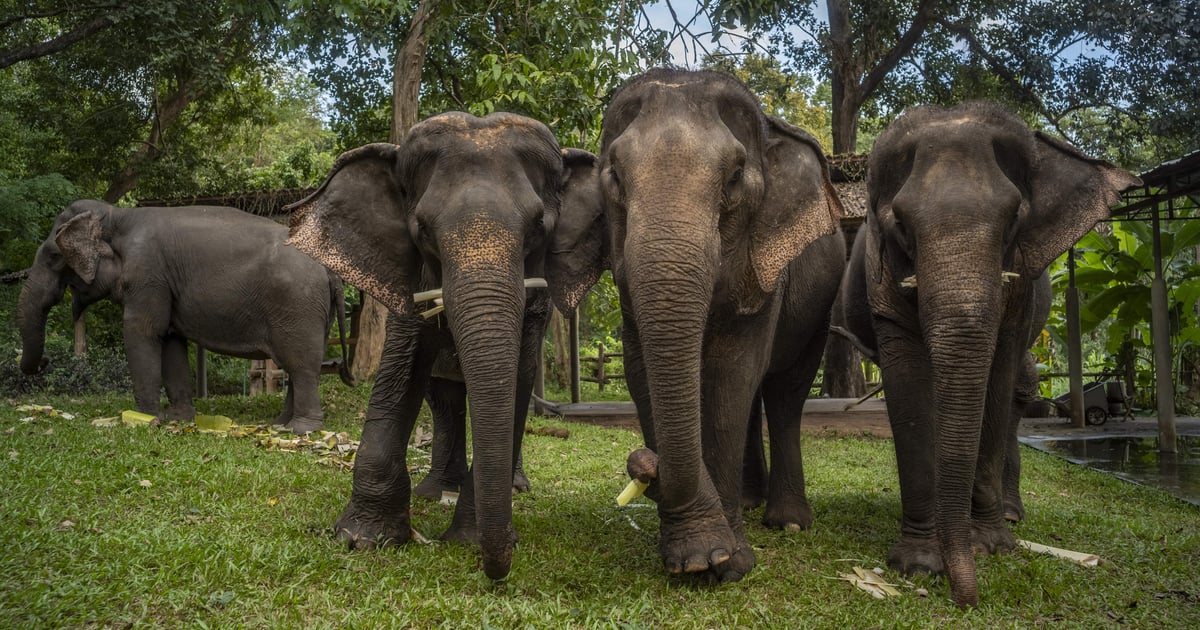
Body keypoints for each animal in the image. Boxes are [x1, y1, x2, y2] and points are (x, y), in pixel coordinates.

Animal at [17, 200, 353, 433]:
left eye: (54, 257)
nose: (45, 361)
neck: (116, 215)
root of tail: (329, 269)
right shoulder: (162, 283)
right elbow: (170, 341)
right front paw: (177, 418)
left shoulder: (148, 274)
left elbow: (142, 333)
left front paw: (146, 418)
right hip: (312, 311)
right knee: (300, 365)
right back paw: (280, 423)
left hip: (297, 305)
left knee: (301, 364)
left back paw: (301, 430)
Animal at [286, 111, 606, 580]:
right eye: (422, 229)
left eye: (538, 228)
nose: (498, 571)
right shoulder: (406, 275)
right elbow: (401, 370)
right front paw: (360, 539)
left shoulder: (537, 306)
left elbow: (517, 379)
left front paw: (470, 539)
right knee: (444, 401)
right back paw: (433, 491)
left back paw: (512, 486)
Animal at [598, 68, 845, 582]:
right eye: (614, 177)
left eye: (734, 178)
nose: (642, 463)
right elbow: (641, 369)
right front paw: (696, 558)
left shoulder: (766, 266)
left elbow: (732, 374)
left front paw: (730, 564)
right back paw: (750, 503)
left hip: (818, 308)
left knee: (784, 393)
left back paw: (789, 522)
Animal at [837, 101, 1140, 607]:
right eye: (901, 225)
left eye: (1014, 218)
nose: (968, 601)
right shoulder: (883, 287)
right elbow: (910, 388)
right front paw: (920, 565)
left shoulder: (1020, 289)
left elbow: (996, 383)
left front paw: (992, 547)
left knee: (1016, 397)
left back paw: (1012, 517)